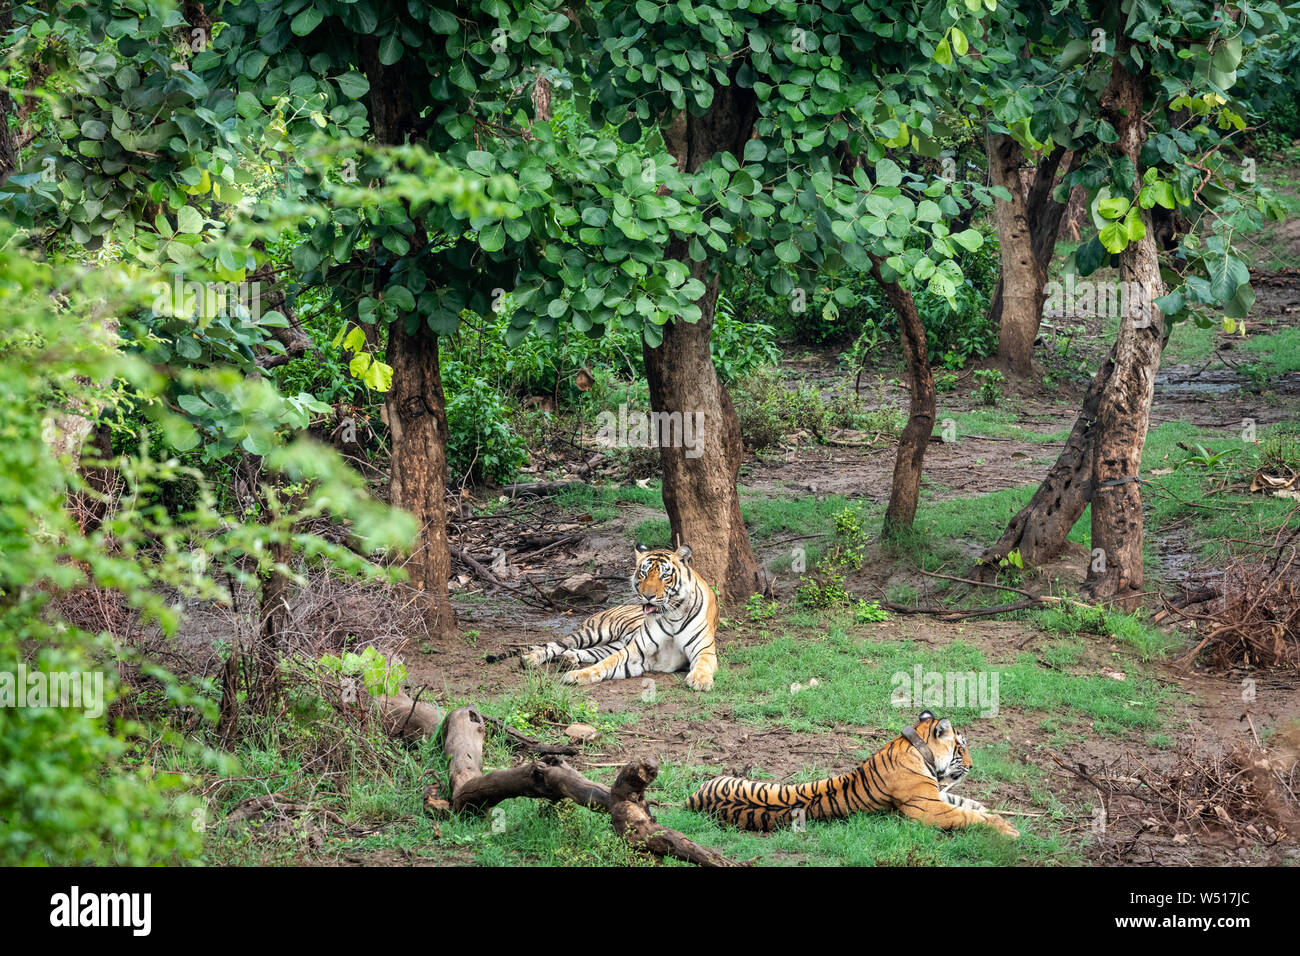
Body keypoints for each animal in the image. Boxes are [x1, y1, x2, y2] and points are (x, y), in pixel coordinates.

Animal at [516, 543, 719, 691]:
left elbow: (703, 664)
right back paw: (531, 658)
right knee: (557, 645)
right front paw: (578, 675)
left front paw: (700, 680)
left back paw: (568, 659)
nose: (648, 595)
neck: (671, 615)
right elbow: (605, 664)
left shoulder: (704, 650)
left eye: (664, 575)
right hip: (595, 633)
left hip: (613, 643)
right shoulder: (636, 652)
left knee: (587, 651)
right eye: (643, 573)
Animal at [687, 711, 1019, 837]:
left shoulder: (936, 796)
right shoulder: (929, 809)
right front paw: (1006, 828)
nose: (973, 766)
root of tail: (691, 799)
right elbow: (965, 815)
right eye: (961, 747)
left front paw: (989, 809)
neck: (914, 747)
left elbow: (964, 802)